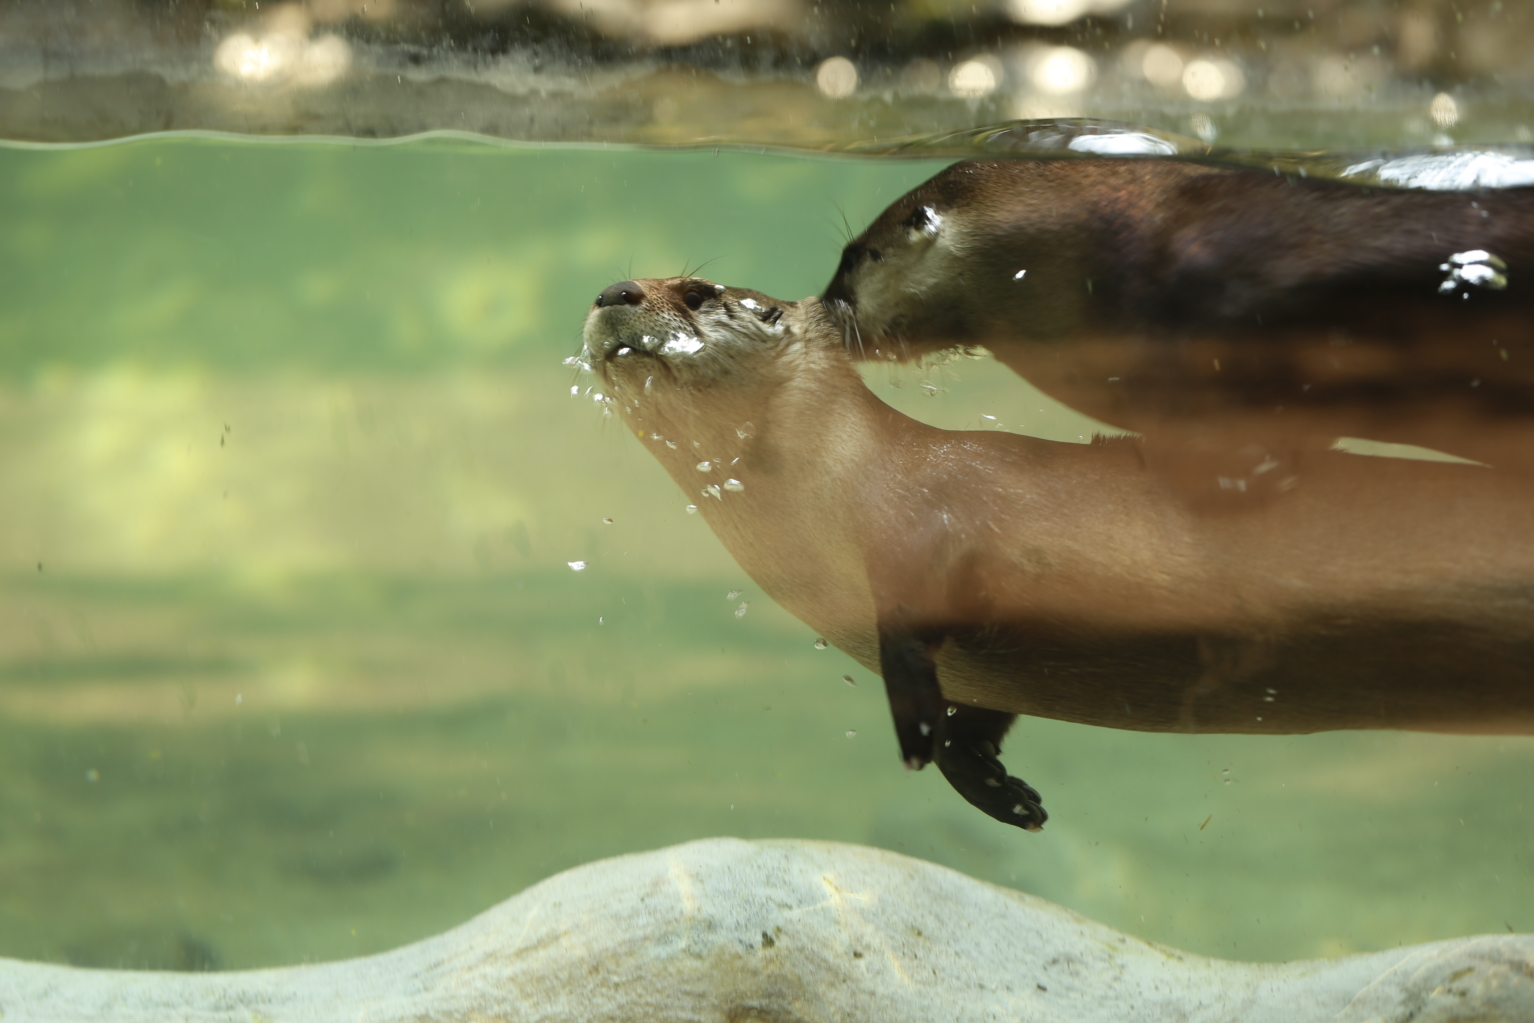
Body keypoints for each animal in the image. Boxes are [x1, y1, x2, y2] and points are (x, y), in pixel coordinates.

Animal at [583, 276, 1534, 831]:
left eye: (697, 290)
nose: (612, 289)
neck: (838, 494)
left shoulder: (934, 519)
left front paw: (916, 726)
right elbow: (983, 712)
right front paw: (1001, 787)